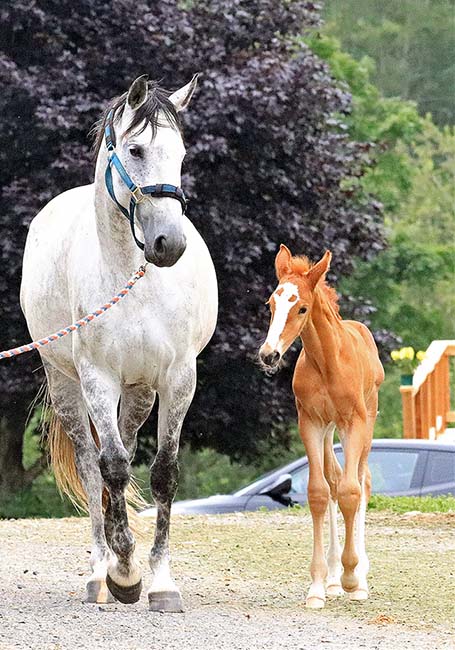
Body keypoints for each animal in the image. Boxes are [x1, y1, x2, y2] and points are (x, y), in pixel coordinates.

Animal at [20, 75, 218, 612]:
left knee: (126, 452)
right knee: (95, 467)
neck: (137, 280)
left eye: (181, 154)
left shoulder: (177, 379)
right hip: (66, 383)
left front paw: (162, 583)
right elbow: (108, 466)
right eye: (136, 149)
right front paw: (124, 573)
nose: (170, 243)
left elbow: (162, 473)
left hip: (140, 391)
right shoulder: (97, 379)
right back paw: (99, 571)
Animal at [259, 244, 384, 609]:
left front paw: (352, 577)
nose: (268, 355)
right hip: (329, 431)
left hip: (367, 421)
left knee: (361, 480)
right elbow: (319, 491)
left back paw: (359, 575)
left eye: (301, 307)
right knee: (333, 479)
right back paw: (331, 578)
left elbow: (351, 492)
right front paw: (318, 585)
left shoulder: (354, 421)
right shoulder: (310, 422)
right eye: (271, 304)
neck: (328, 361)